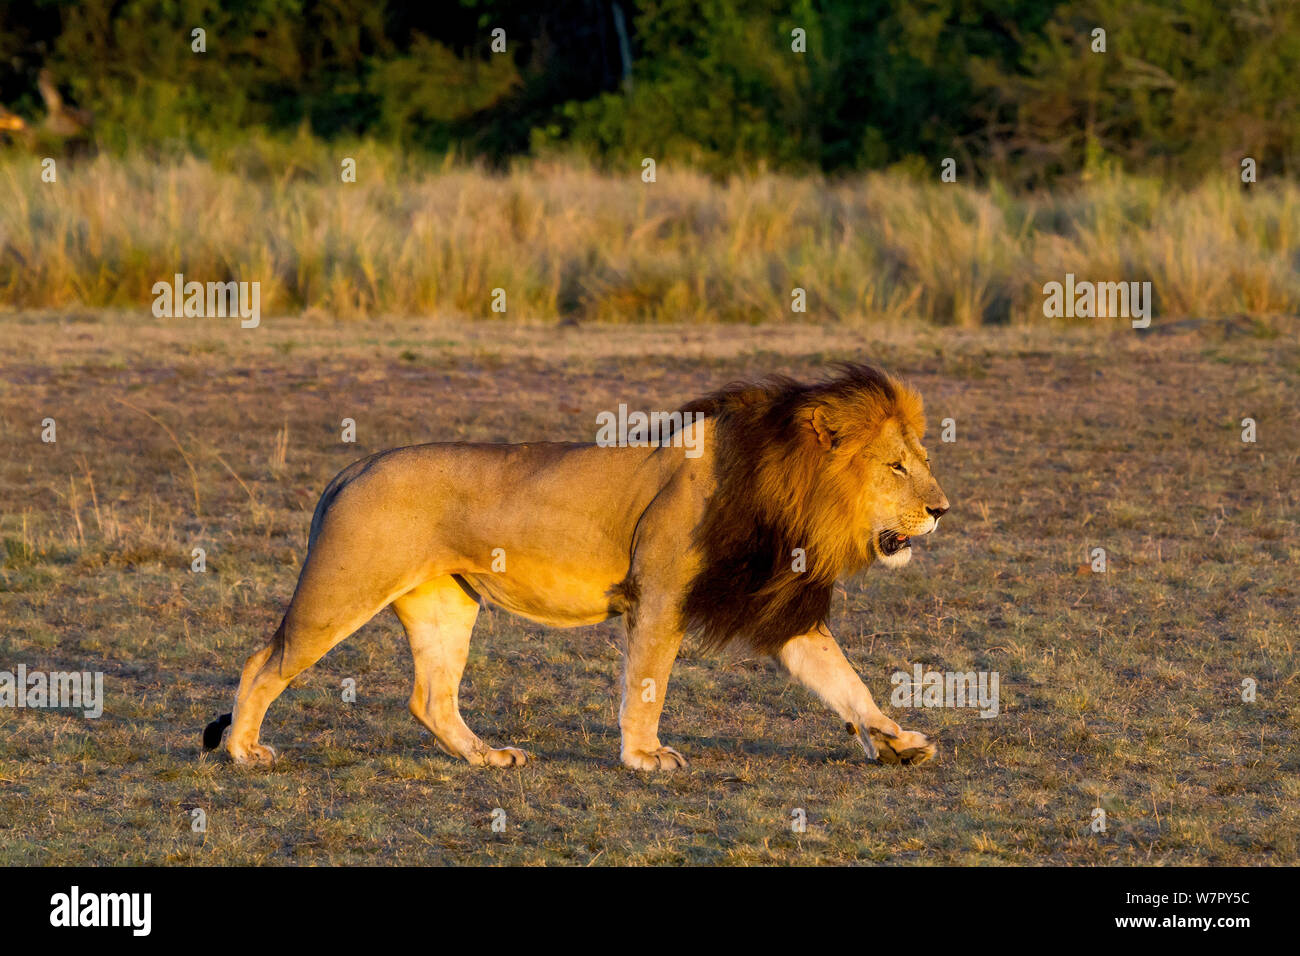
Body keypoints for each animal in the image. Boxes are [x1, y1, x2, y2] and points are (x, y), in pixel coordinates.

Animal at [203, 363, 950, 770]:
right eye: (896, 467)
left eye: (922, 460)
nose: (942, 509)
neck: (790, 489)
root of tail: (352, 468)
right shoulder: (661, 595)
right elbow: (647, 685)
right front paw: (645, 757)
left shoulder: (778, 608)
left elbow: (844, 681)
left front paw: (897, 741)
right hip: (344, 586)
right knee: (262, 662)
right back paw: (243, 750)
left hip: (447, 602)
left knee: (431, 699)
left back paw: (489, 757)